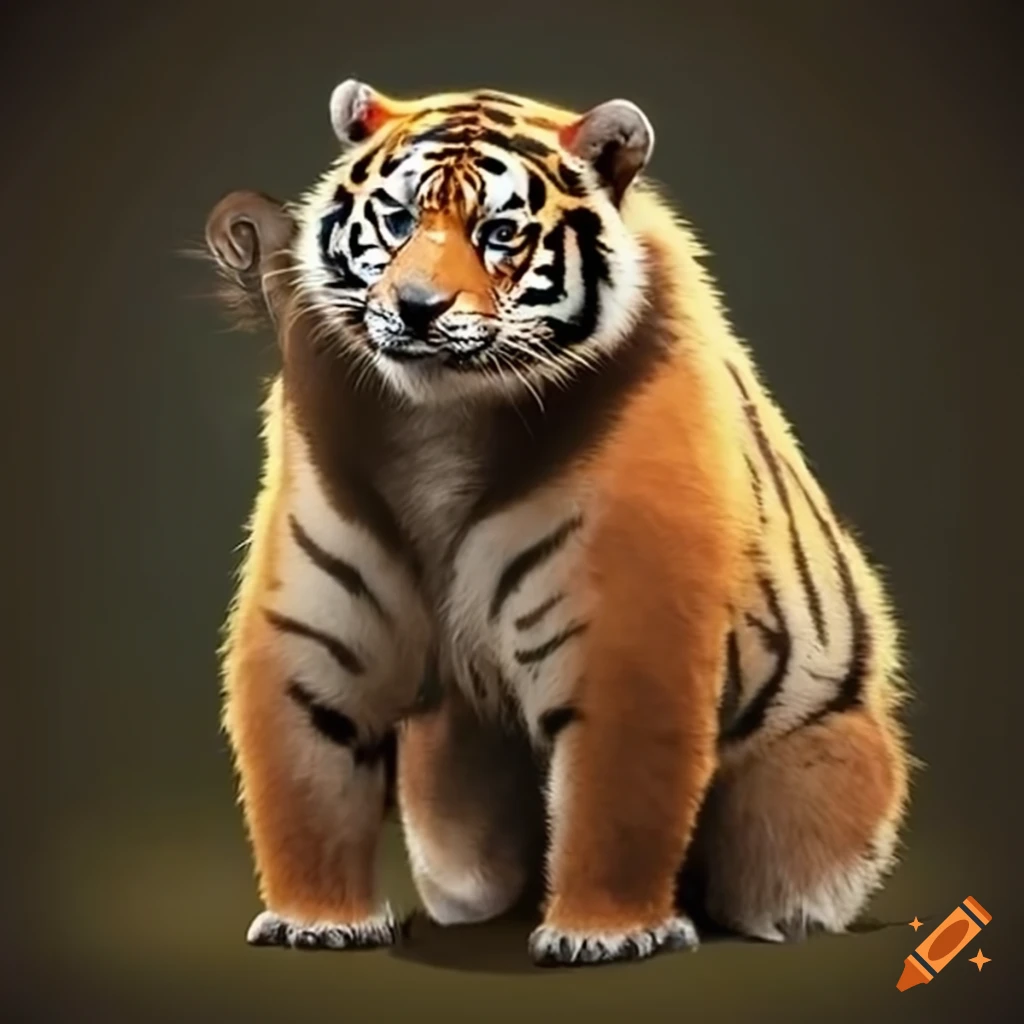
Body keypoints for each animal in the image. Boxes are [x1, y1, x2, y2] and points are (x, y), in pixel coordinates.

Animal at [203, 79, 914, 967]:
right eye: (397, 220)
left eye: (499, 233)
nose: (415, 308)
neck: (443, 421)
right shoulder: (317, 617)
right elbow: (306, 770)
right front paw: (317, 920)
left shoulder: (628, 634)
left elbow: (615, 799)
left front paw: (603, 934)